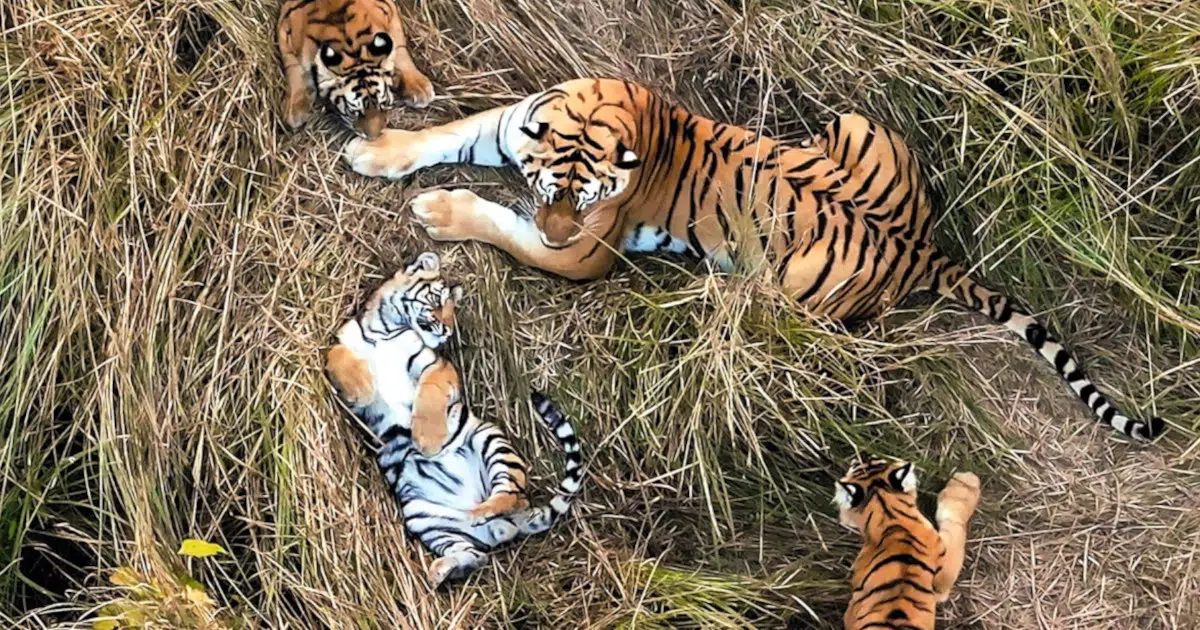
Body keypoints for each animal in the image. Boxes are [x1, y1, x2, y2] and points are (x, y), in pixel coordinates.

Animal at [277, 0, 434, 139]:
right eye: (354, 112)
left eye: (383, 104)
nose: (374, 137)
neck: (351, 47)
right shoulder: (284, 27)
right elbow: (294, 67)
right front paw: (295, 109)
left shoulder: (390, 11)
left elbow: (399, 48)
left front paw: (419, 86)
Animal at [324, 251, 584, 586]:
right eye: (437, 300)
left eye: (453, 312)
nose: (447, 330)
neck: (386, 330)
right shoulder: (343, 345)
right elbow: (336, 355)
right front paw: (364, 387)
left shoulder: (435, 365)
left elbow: (431, 395)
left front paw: (427, 440)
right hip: (425, 517)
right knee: (474, 554)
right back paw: (441, 570)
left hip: (490, 440)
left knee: (512, 494)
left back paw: (481, 512)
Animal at [340, 77, 1167, 440]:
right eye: (551, 188)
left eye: (580, 207)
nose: (557, 231)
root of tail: (923, 248)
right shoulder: (510, 126)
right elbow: (447, 135)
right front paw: (378, 153)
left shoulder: (590, 251)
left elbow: (503, 226)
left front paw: (438, 209)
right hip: (855, 122)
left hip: (792, 281)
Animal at [834, 457, 981, 629]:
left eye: (877, 460)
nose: (861, 456)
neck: (890, 516)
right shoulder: (943, 574)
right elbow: (955, 525)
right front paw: (967, 483)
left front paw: (966, 482)